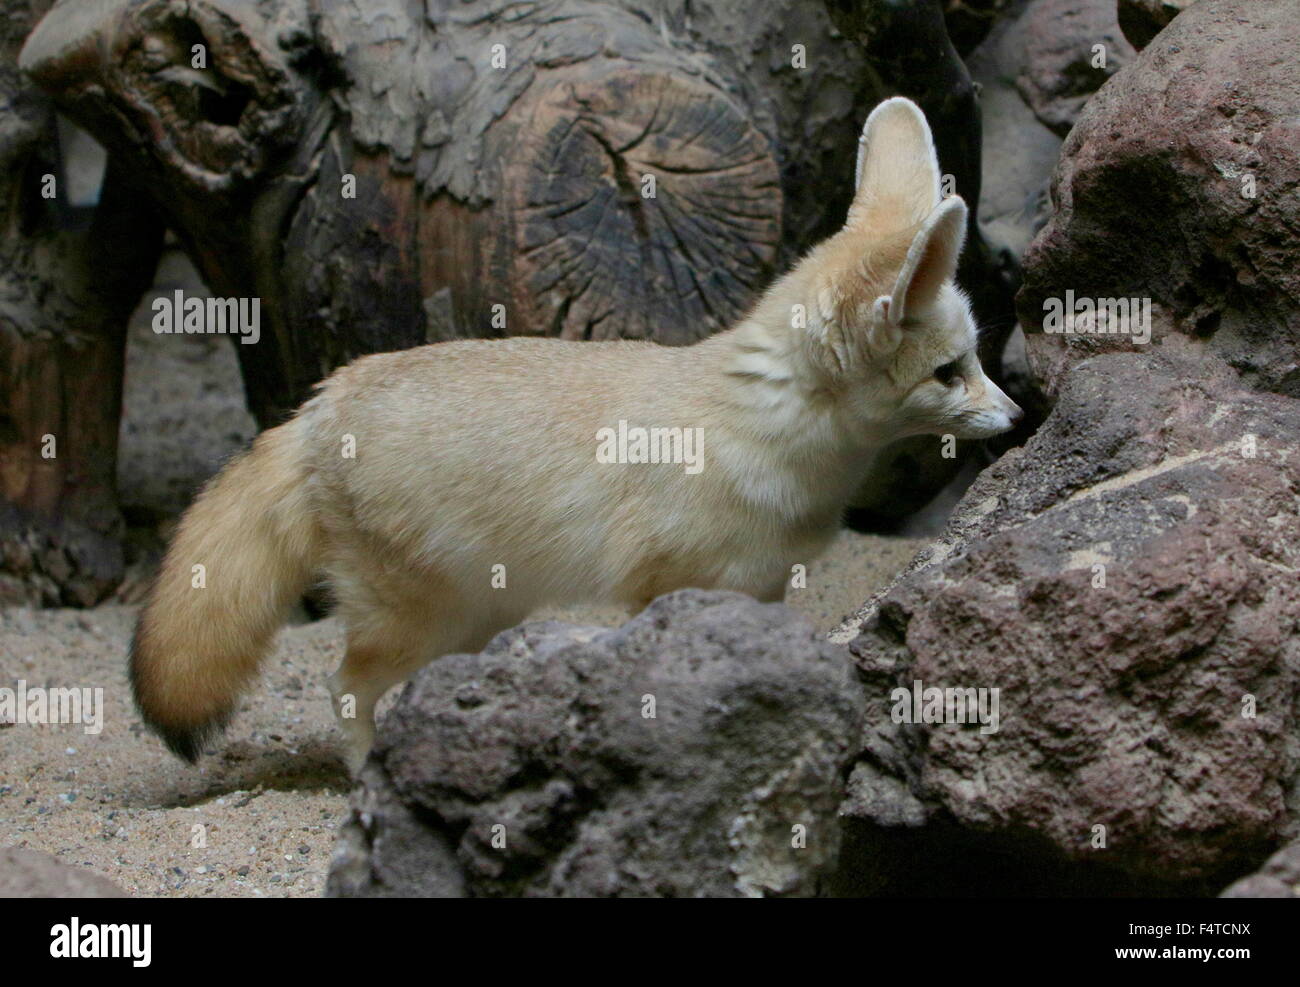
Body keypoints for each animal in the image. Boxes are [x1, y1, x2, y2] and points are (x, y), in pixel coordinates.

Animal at [130, 97, 1022, 772]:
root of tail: (319, 404)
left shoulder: (758, 591)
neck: (766, 424)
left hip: (478, 612)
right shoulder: (661, 589)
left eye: (975, 359)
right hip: (421, 618)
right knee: (344, 687)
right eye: (950, 371)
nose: (1016, 417)